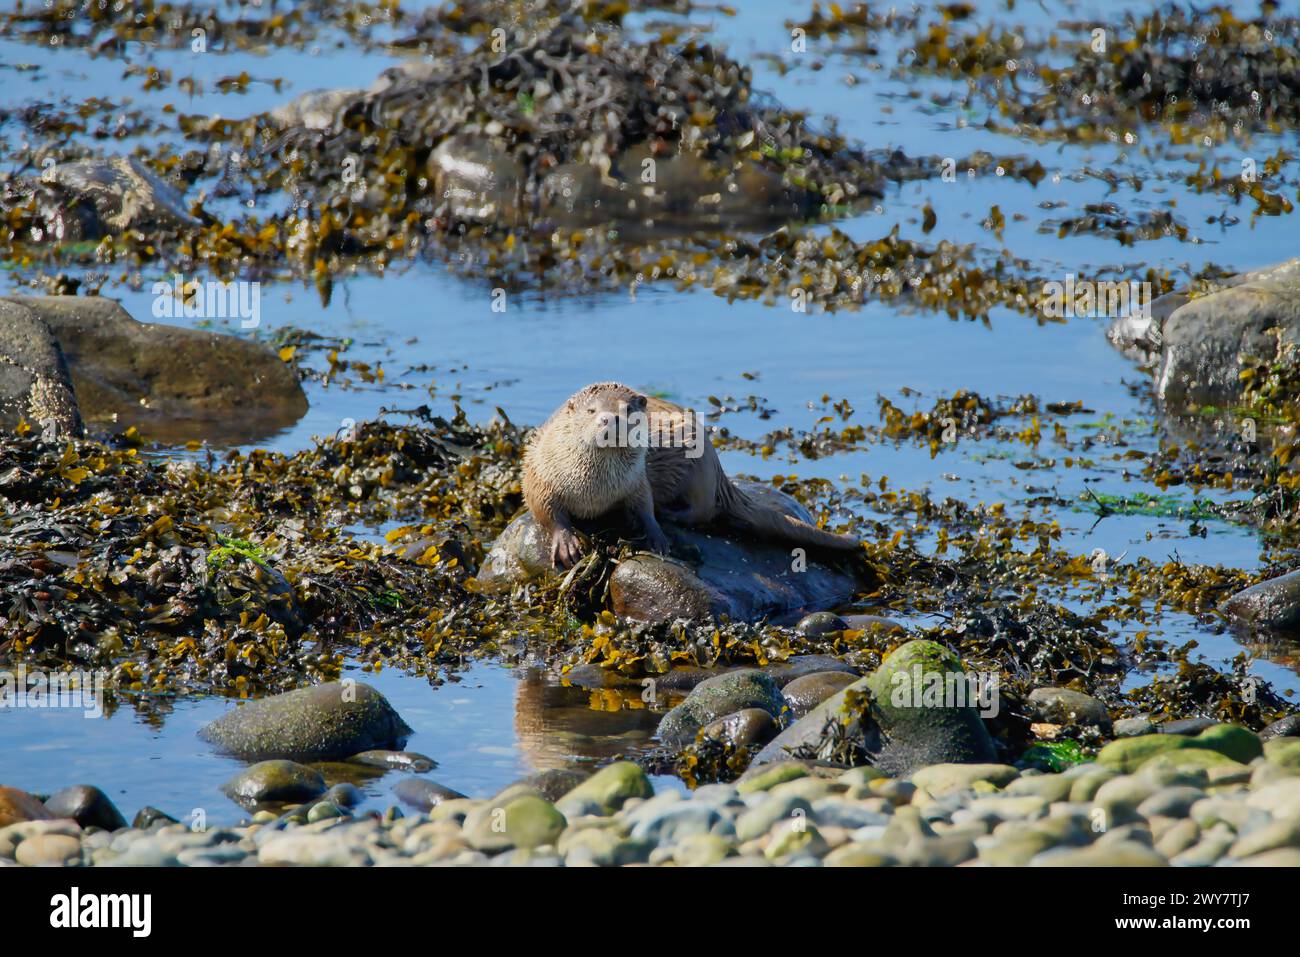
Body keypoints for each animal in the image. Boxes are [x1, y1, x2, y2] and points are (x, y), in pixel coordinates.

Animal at [523, 382, 860, 568]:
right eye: (591, 411)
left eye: (627, 409)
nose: (610, 419)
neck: (594, 489)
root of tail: (719, 471)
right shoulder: (539, 472)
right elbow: (546, 510)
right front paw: (567, 543)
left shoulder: (637, 482)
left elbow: (644, 505)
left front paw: (656, 535)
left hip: (698, 467)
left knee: (702, 510)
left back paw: (670, 514)